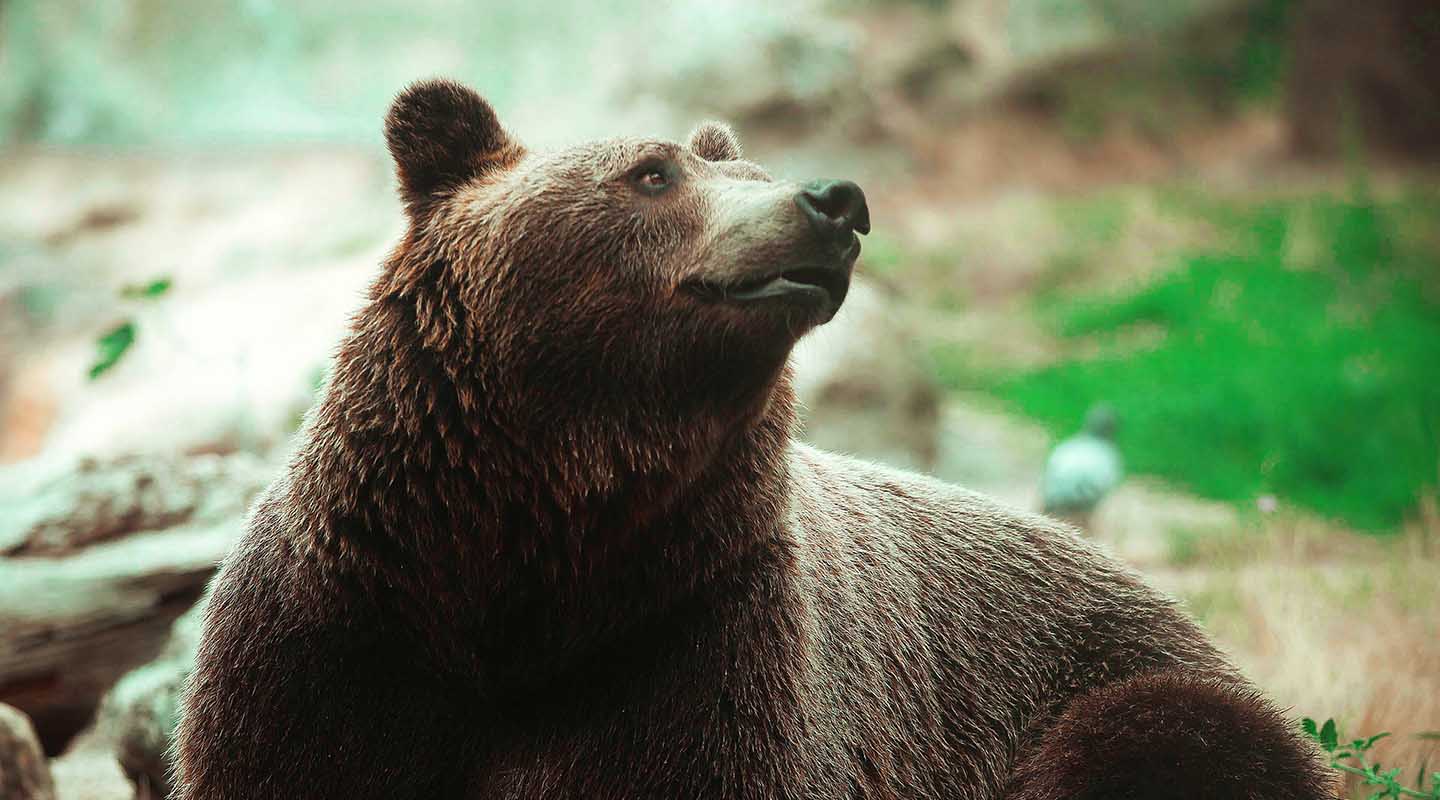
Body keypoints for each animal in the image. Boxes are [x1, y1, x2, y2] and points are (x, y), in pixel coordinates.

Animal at [173, 79, 1334, 799]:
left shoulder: (697, 646)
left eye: (748, 165)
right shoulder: (337, 643)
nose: (835, 200)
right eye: (651, 171)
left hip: (1116, 689)